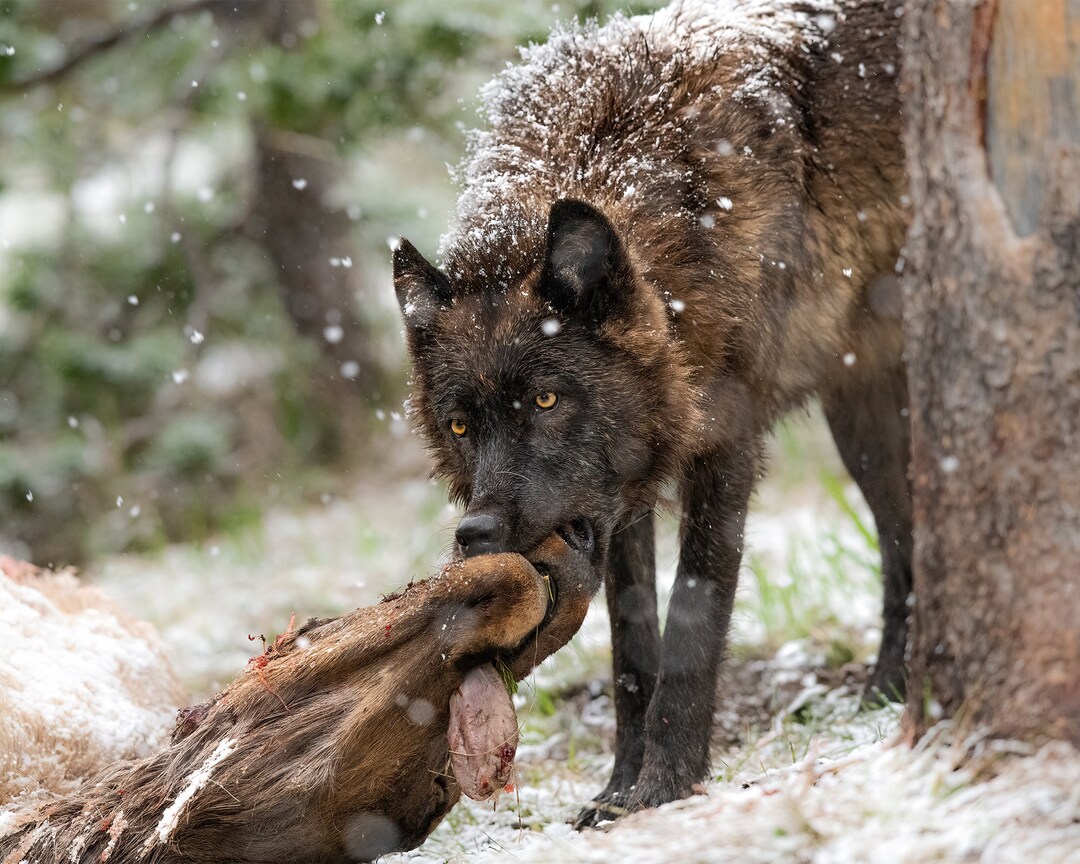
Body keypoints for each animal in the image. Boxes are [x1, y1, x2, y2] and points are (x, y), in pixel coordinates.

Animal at [393, 0, 908, 824]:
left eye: (547, 400)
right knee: (901, 533)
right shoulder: (618, 504)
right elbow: (632, 646)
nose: (476, 534)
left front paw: (666, 787)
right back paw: (890, 688)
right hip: (857, 424)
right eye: (461, 426)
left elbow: (692, 621)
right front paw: (616, 790)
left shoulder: (726, 450)